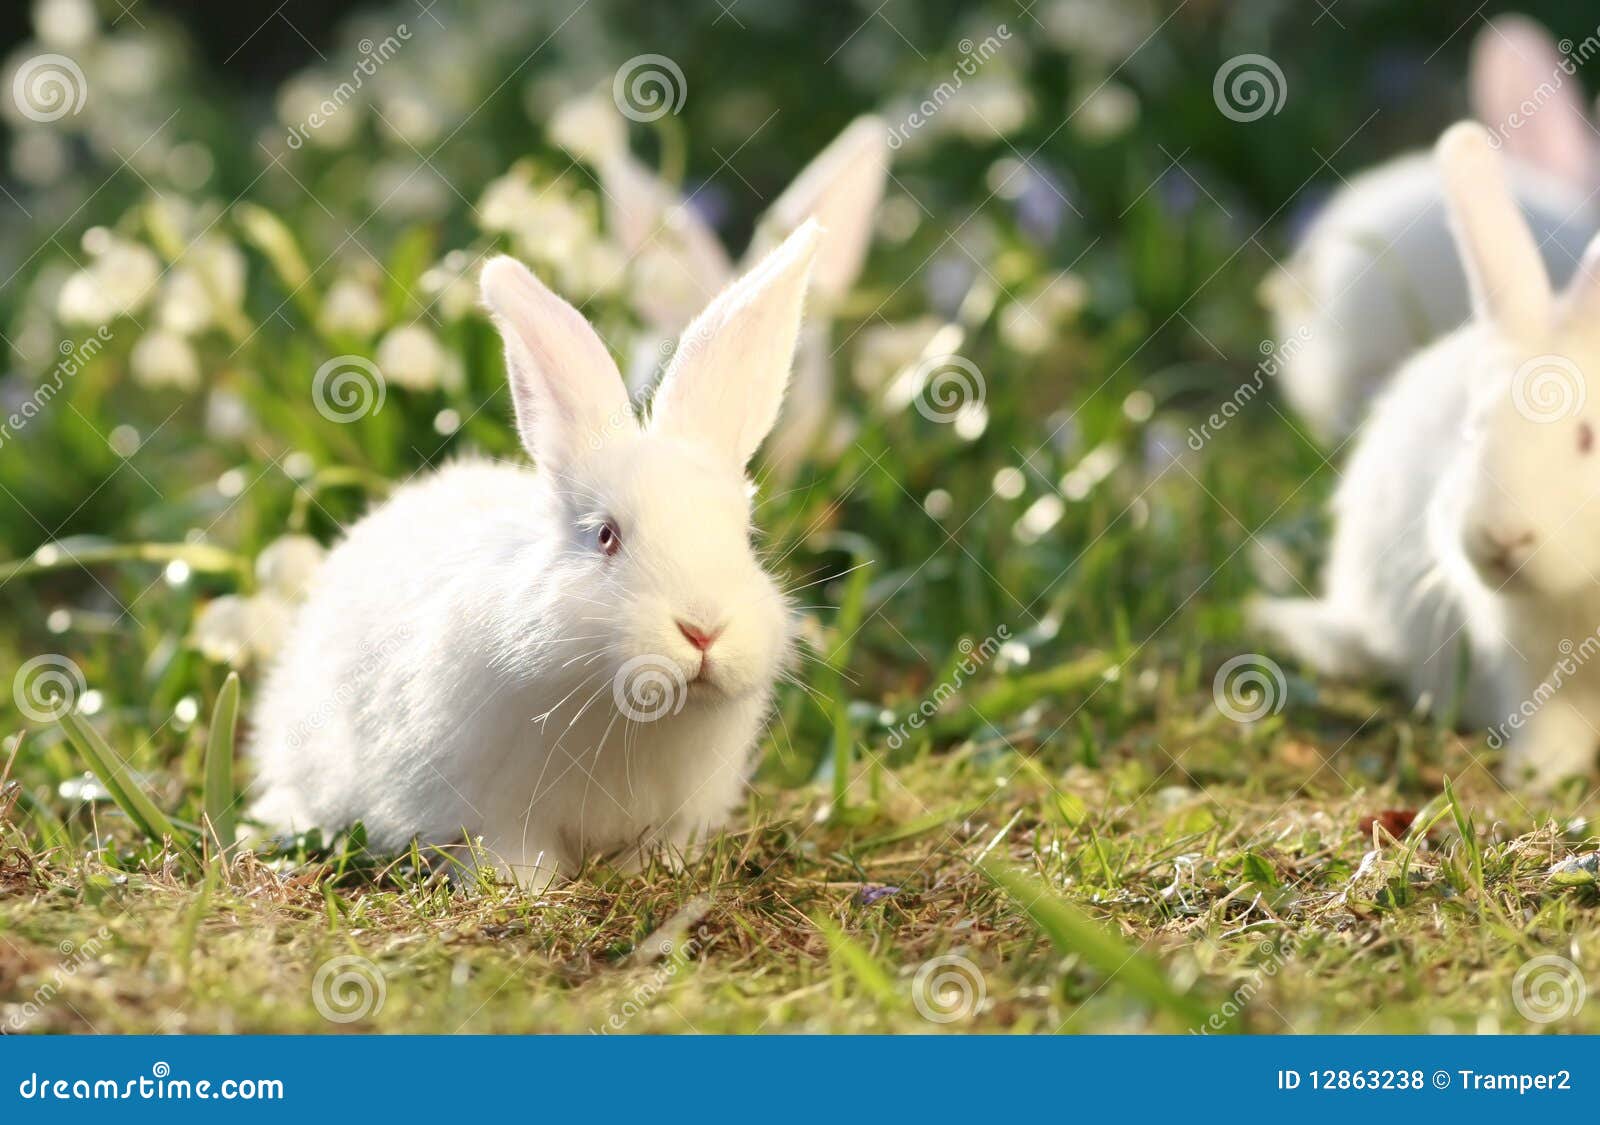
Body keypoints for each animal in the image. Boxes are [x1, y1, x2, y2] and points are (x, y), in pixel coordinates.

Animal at [248, 220, 824, 886]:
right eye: (605, 536)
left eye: (747, 538)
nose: (703, 630)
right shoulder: (498, 816)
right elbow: (516, 857)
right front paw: (533, 889)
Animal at [1251, 120, 1600, 790]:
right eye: (1474, 427)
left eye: (1587, 437)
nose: (1500, 538)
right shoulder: (1529, 663)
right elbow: (1553, 722)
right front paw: (1535, 777)